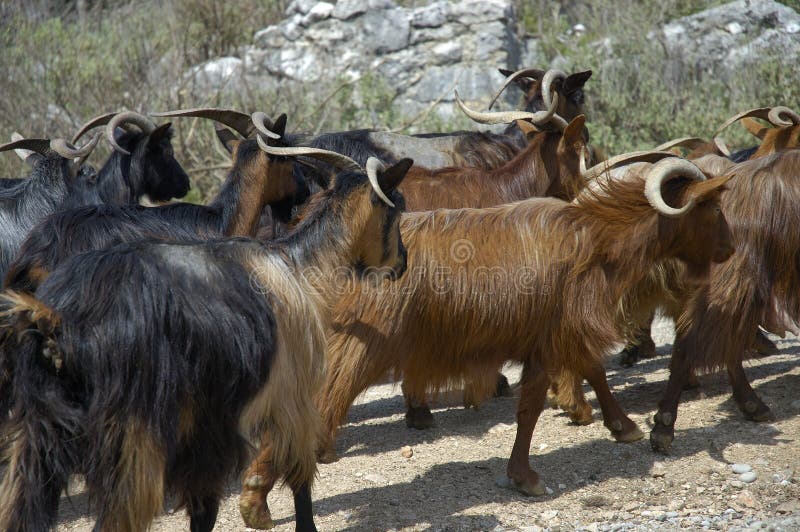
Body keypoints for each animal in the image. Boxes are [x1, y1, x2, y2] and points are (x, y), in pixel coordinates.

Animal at [0, 151, 412, 532]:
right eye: (396, 211)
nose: (403, 262)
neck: (299, 267)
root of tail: (58, 320)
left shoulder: (204, 430)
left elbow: (204, 511)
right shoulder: (290, 397)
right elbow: (299, 477)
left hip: (35, 441)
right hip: (133, 443)